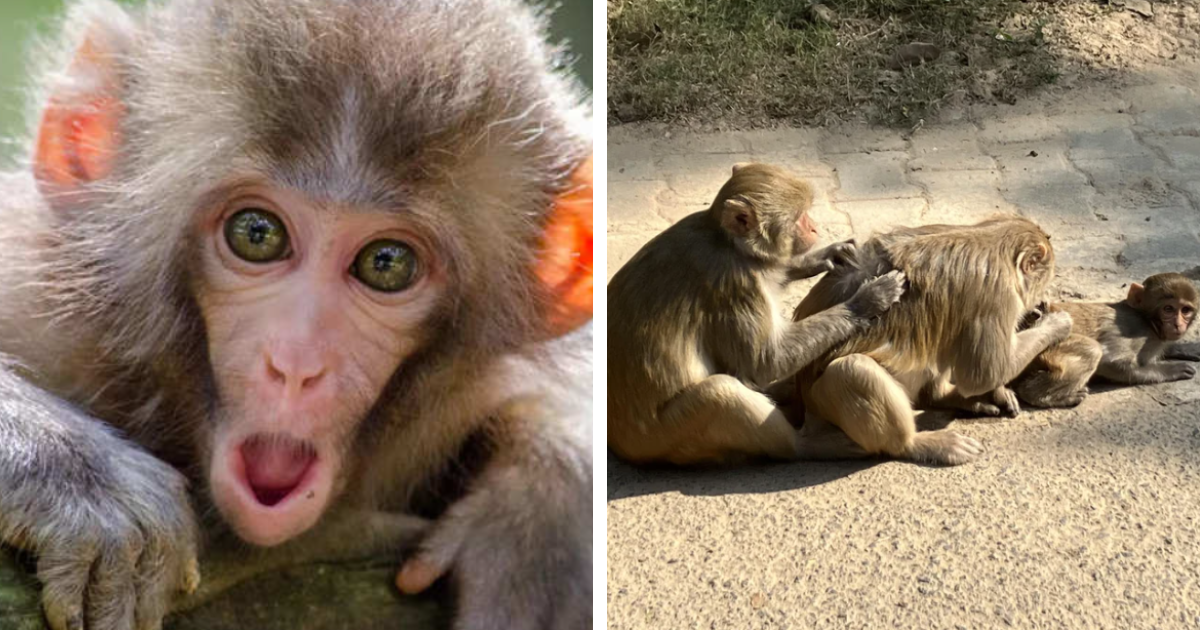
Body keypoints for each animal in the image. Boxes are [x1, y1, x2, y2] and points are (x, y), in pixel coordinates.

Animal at [607, 162, 908, 466]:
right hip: (670, 436)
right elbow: (765, 362)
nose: (814, 227)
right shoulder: (735, 284)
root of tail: (620, 443)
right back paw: (806, 445)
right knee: (720, 393)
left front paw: (828, 255)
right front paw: (865, 301)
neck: (726, 241)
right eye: (798, 218)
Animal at [788, 217, 1075, 465]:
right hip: (823, 406)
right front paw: (1055, 324)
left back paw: (945, 397)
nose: (1041, 298)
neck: (994, 243)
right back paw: (915, 444)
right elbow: (984, 373)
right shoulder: (998, 296)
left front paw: (997, 390)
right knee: (852, 370)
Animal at [1011, 272, 1199, 408]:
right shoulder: (1136, 331)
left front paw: (1187, 349)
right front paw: (1173, 369)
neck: (1148, 321)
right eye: (1168, 309)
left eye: (1186, 310)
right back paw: (1038, 395)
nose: (1177, 324)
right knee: (1092, 349)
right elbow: (1111, 362)